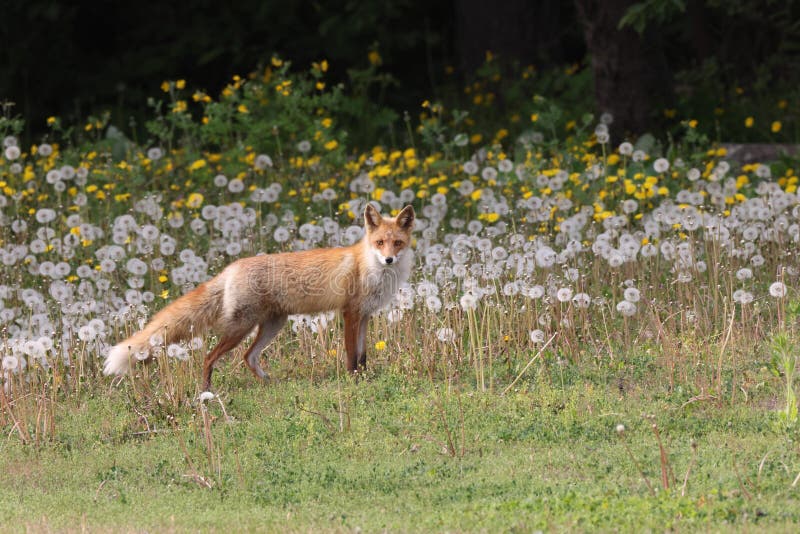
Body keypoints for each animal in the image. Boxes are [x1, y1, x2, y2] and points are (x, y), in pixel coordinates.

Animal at [103, 204, 415, 391]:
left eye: (397, 243)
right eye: (379, 243)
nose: (388, 259)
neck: (370, 268)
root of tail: (230, 267)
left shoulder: (365, 315)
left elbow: (363, 355)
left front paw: (365, 377)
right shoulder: (350, 313)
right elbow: (351, 355)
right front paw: (353, 381)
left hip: (272, 326)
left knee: (248, 357)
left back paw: (270, 383)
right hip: (241, 328)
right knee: (209, 356)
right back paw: (206, 392)